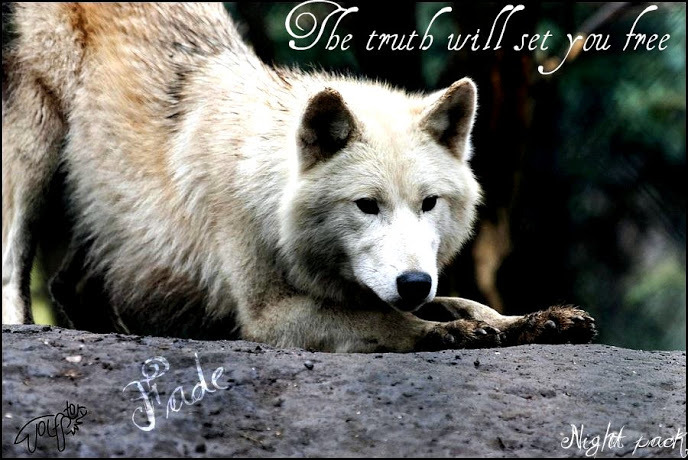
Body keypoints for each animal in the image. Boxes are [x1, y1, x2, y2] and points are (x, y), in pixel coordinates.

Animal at [2, 3, 595, 351]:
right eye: (366, 205)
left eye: (429, 203)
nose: (413, 282)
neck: (270, 197)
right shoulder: (270, 316)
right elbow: (390, 324)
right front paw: (449, 333)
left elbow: (467, 302)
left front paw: (533, 320)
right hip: (39, 147)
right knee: (16, 262)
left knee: (67, 283)